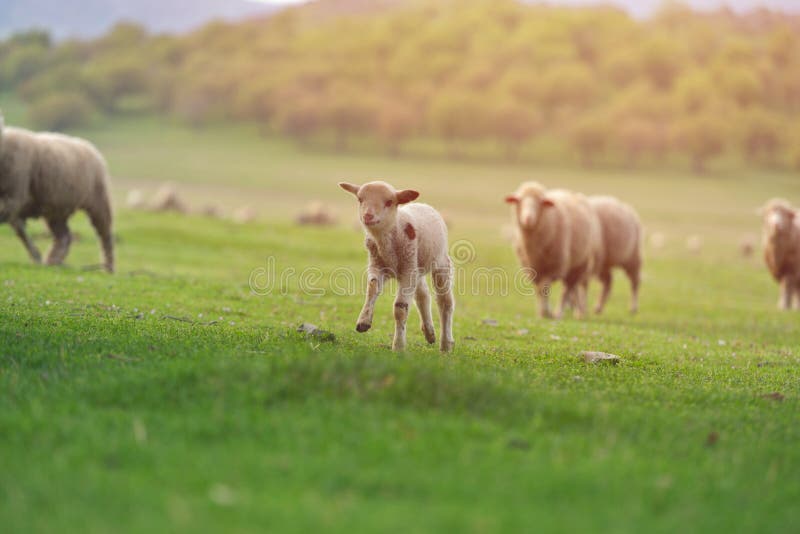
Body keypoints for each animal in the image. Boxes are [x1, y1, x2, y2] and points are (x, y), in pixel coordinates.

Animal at [0, 114, 114, 272]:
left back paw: (108, 267)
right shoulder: (13, 202)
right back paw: (53, 260)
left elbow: (16, 224)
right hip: (57, 209)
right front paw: (36, 255)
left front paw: (35, 254)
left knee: (105, 235)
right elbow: (19, 227)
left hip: (98, 200)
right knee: (64, 236)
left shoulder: (14, 194)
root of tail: (89, 145)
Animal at [339, 180, 455, 352]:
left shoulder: (407, 272)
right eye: (360, 199)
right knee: (423, 295)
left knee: (445, 302)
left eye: (389, 202)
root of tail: (424, 205)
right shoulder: (377, 264)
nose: (367, 216)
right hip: (416, 266)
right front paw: (363, 322)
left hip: (439, 262)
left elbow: (400, 308)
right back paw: (429, 333)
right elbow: (372, 288)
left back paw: (445, 344)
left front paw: (398, 345)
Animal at [505, 182, 601, 319]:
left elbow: (544, 288)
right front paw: (541, 313)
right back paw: (576, 311)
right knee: (572, 289)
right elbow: (539, 290)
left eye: (540, 202)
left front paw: (547, 312)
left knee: (567, 289)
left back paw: (561, 313)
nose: (528, 219)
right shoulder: (533, 269)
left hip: (580, 264)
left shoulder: (553, 267)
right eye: (520, 201)